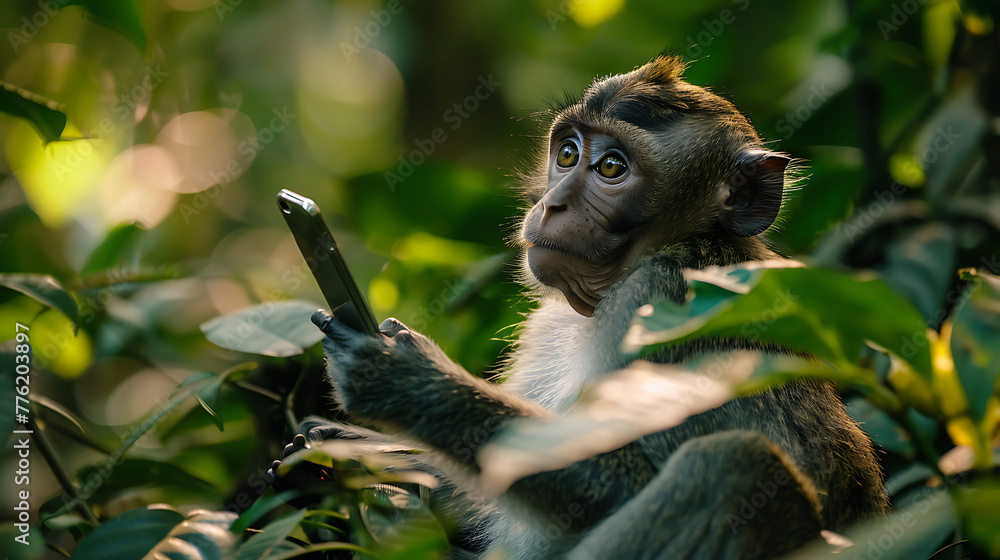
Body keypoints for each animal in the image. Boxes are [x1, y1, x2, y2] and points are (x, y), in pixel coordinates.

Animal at [268, 55, 889, 559]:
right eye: (567, 153)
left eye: (612, 167)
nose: (554, 204)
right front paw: (351, 458)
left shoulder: (659, 303)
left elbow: (632, 484)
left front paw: (406, 381)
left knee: (734, 465)